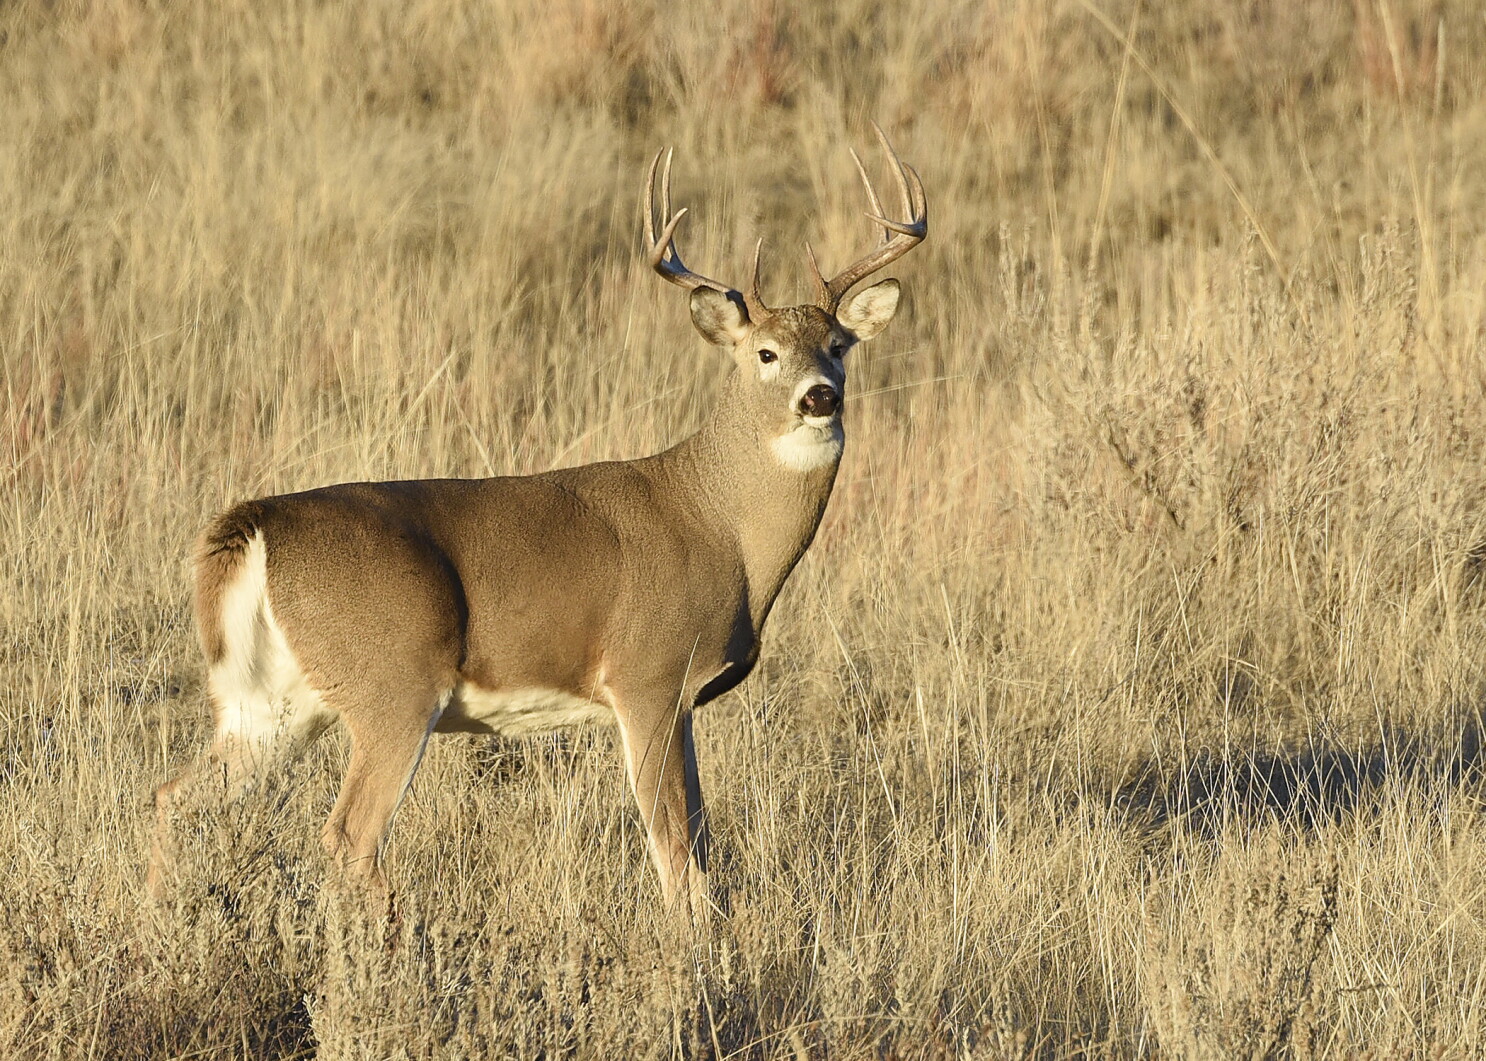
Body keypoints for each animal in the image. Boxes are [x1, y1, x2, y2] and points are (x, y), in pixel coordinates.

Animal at [147, 124, 926, 918]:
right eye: (765, 353)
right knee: (347, 836)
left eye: (839, 345)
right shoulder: (648, 673)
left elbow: (702, 846)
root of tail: (255, 523)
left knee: (174, 797)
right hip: (392, 682)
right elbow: (677, 855)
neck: (721, 525)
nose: (820, 396)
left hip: (269, 702)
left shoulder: (678, 700)